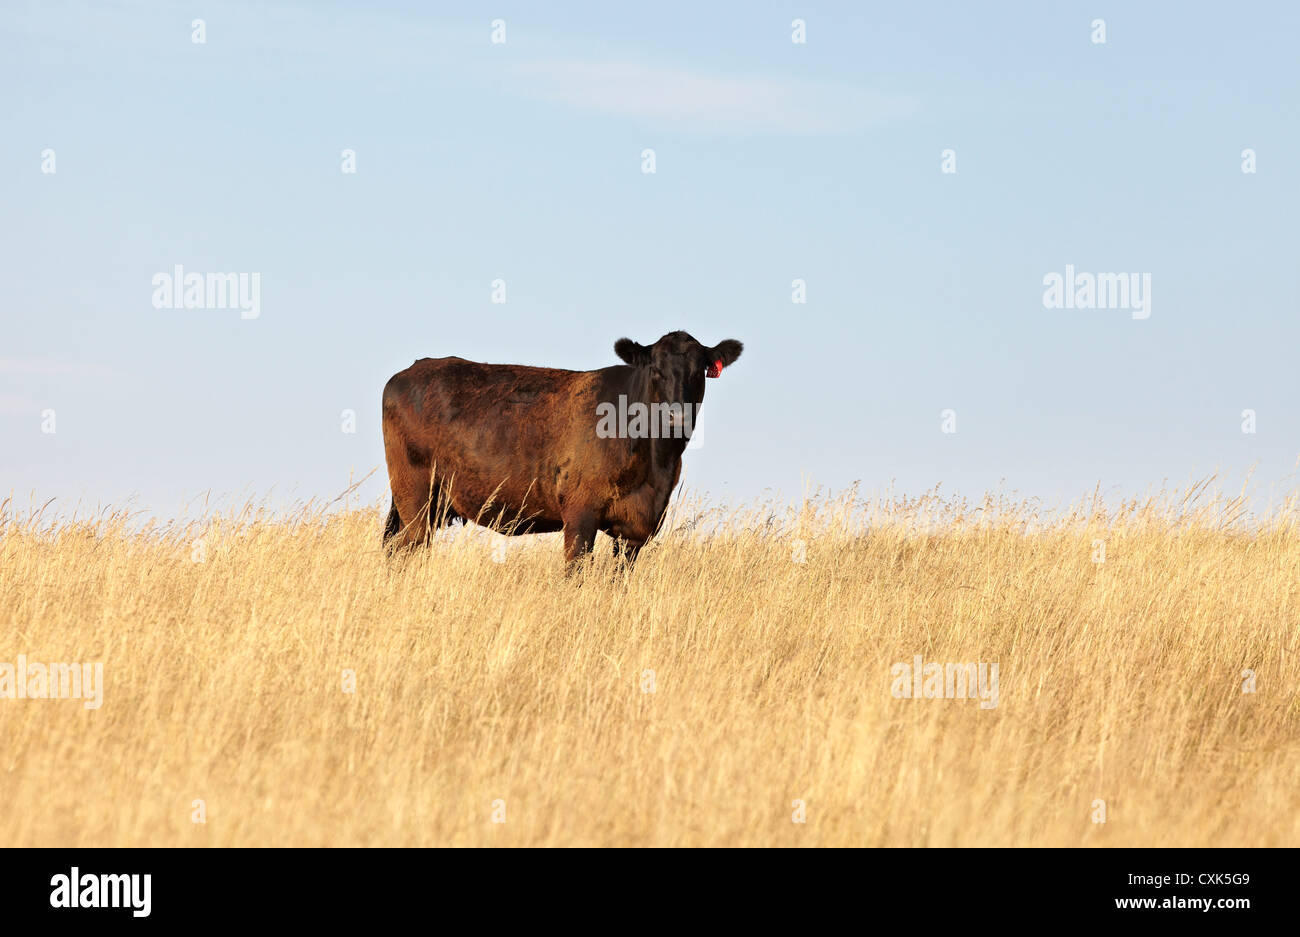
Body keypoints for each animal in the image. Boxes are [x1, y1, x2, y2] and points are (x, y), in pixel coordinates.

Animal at [380, 331, 743, 570]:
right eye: (656, 370)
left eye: (699, 372)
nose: (676, 415)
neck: (656, 465)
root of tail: (410, 371)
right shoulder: (580, 514)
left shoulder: (636, 529)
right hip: (414, 495)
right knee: (408, 549)